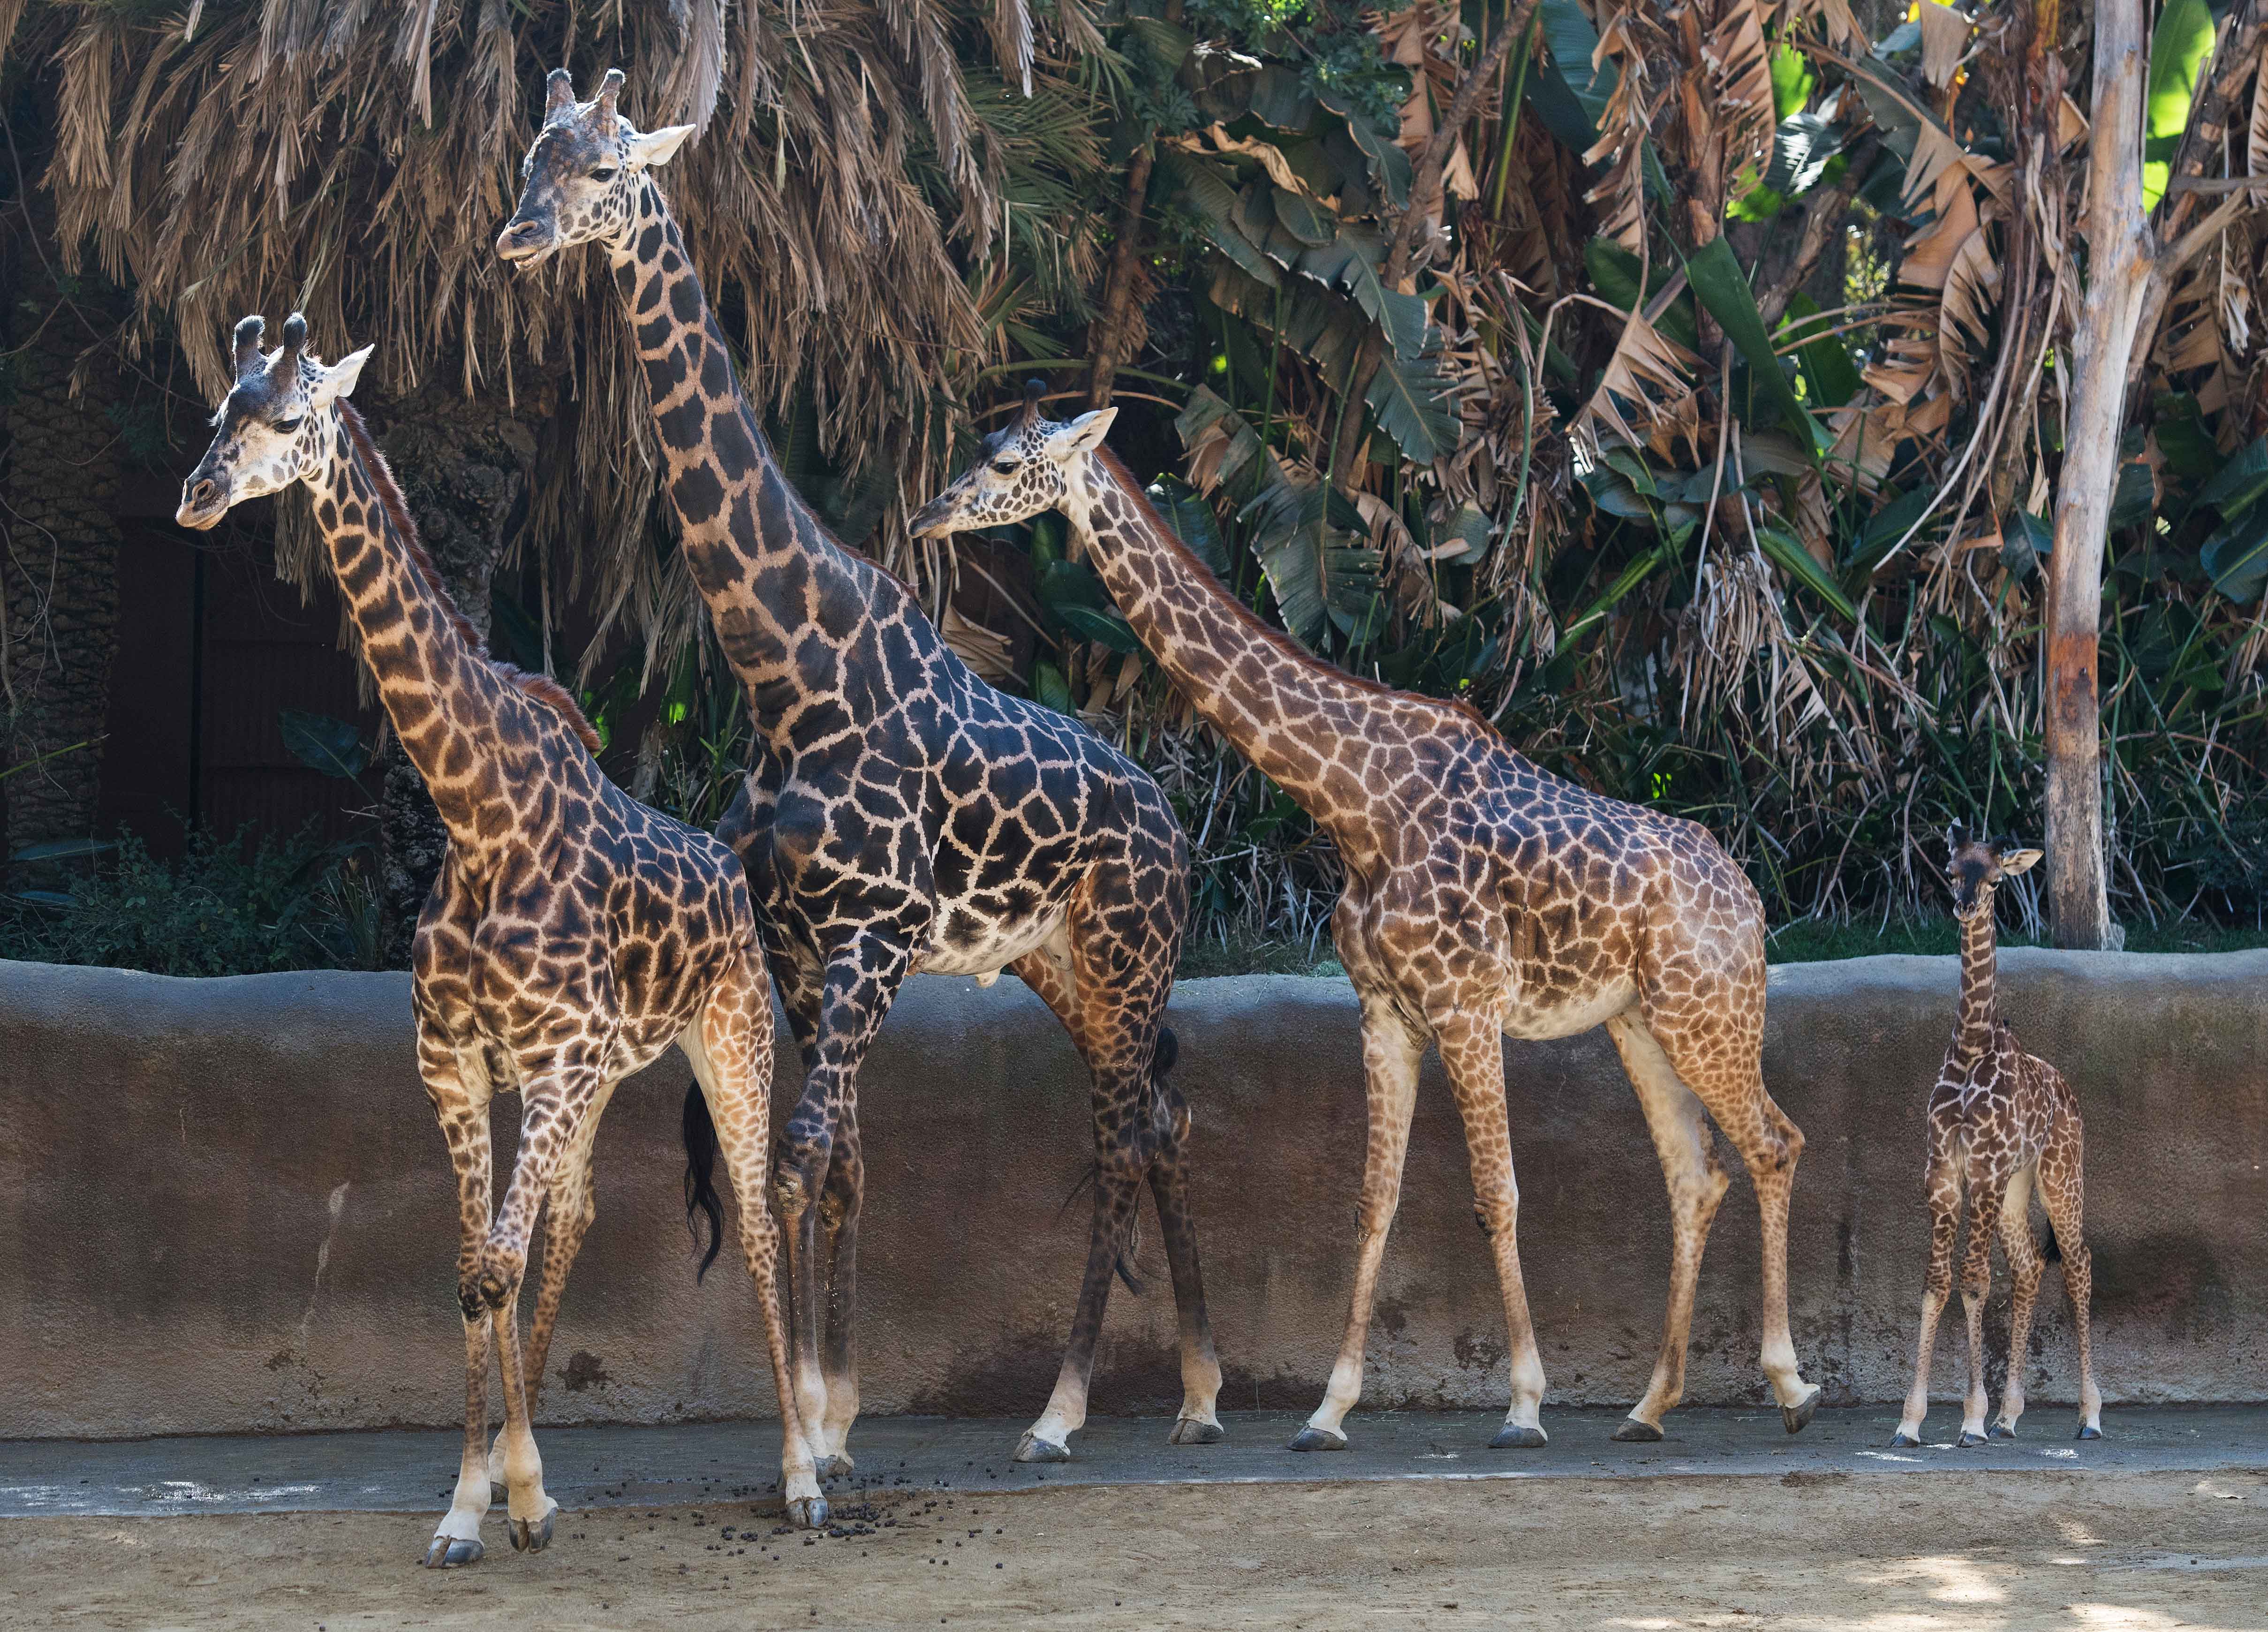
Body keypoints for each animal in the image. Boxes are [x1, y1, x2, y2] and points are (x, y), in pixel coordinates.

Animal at [176, 314, 828, 1564]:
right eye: (217, 412)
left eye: (290, 417)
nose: (197, 495)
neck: (479, 813)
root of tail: (733, 867)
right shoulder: (461, 1061)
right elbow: (476, 1272)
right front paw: (483, 1503)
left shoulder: (558, 1058)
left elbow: (494, 1263)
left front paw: (506, 1493)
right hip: (591, 1078)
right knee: (570, 1221)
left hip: (727, 1038)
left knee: (763, 1225)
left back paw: (805, 1476)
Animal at [495, 69, 1222, 1469]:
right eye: (527, 160)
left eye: (605, 172)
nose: (516, 240)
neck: (787, 668)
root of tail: (1172, 829)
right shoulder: (797, 945)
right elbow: (828, 1158)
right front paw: (830, 1415)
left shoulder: (870, 938)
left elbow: (804, 1152)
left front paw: (819, 1428)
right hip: (1060, 967)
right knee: (1158, 1124)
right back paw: (1201, 1395)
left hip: (1126, 954)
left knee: (1118, 1138)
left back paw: (1059, 1415)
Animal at [908, 388, 1827, 1449]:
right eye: (980, 448)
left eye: (1007, 464)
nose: (929, 514)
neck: (1353, 797)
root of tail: (1750, 901)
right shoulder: (1387, 1010)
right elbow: (1373, 1202)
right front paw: (1329, 1409)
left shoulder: (1466, 1004)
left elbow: (1496, 1194)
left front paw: (1523, 1405)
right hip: (1642, 1022)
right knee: (1696, 1172)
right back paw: (1649, 1405)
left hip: (1707, 1012)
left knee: (1773, 1144)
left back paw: (1790, 1386)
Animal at [1892, 829, 2100, 1447]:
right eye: (1951, 870)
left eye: (1994, 878)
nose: (1964, 907)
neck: (1970, 1048)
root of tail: (2069, 1092)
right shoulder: (1943, 1171)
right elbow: (1937, 1282)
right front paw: (1910, 1423)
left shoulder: (1983, 1167)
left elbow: (1975, 1281)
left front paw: (1971, 1420)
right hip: (2016, 1186)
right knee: (2031, 1265)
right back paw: (2011, 1414)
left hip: (2060, 1173)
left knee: (2077, 1262)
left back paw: (2089, 1416)